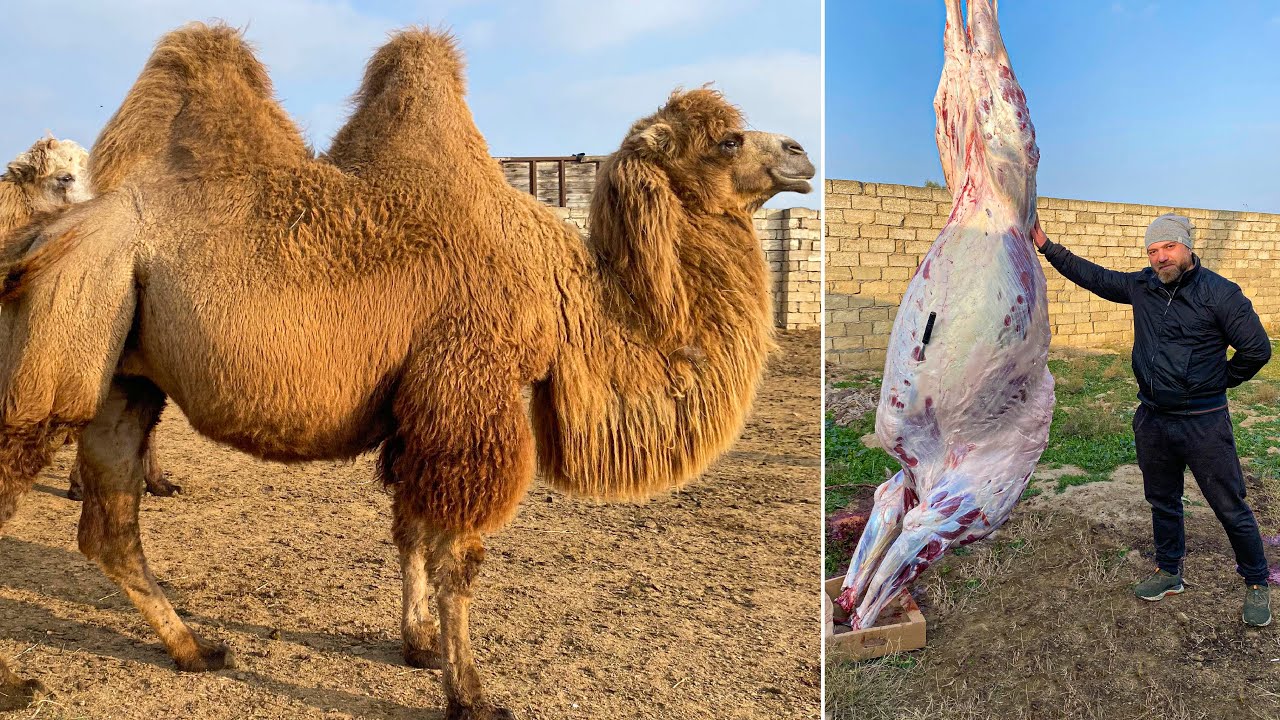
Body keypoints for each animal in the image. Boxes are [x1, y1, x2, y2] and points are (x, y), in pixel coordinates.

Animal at [0, 24, 813, 719]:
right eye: (728, 138)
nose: (803, 155)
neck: (567, 294)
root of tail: (39, 237)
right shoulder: (472, 390)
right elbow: (460, 555)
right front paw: (472, 695)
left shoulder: (427, 406)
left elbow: (412, 528)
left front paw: (419, 646)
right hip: (57, 359)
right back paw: (21, 684)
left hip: (122, 378)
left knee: (110, 527)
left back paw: (197, 647)